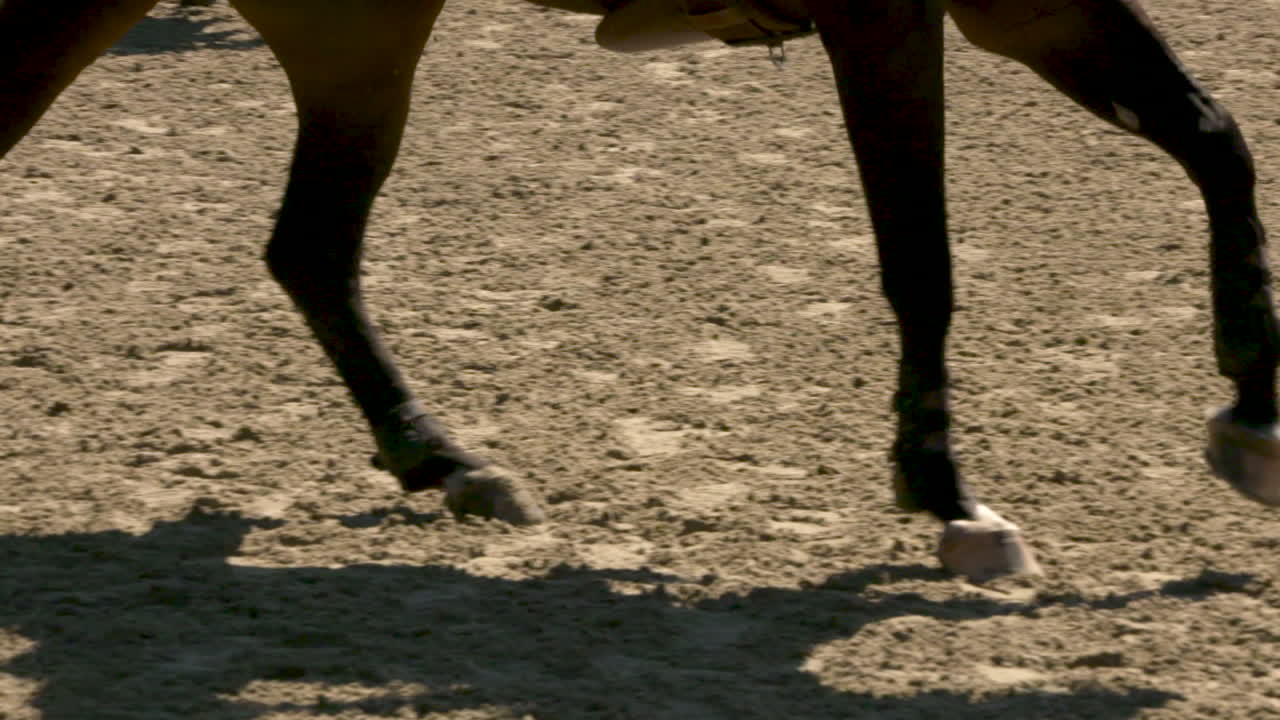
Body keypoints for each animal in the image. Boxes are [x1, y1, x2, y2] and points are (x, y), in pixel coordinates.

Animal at [1, 0, 1276, 581]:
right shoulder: (883, 16)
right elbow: (921, 259)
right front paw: (941, 488)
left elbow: (1215, 143)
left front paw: (1251, 415)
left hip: (353, 45)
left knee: (310, 250)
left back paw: (443, 461)